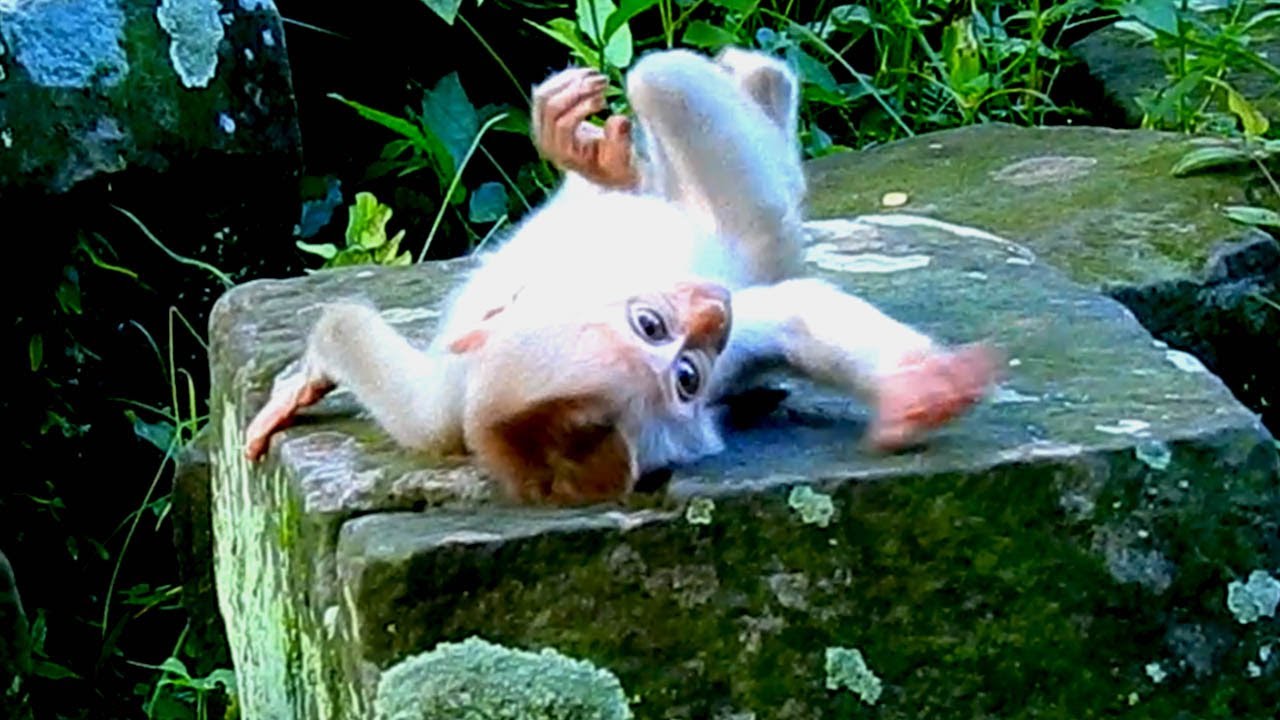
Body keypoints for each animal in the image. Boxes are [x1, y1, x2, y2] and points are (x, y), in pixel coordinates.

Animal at [243, 47, 1000, 506]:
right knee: (737, 179)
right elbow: (794, 314)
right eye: (684, 376)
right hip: (751, 224)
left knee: (654, 79)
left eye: (651, 323)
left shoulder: (434, 407)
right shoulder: (446, 414)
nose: (710, 311)